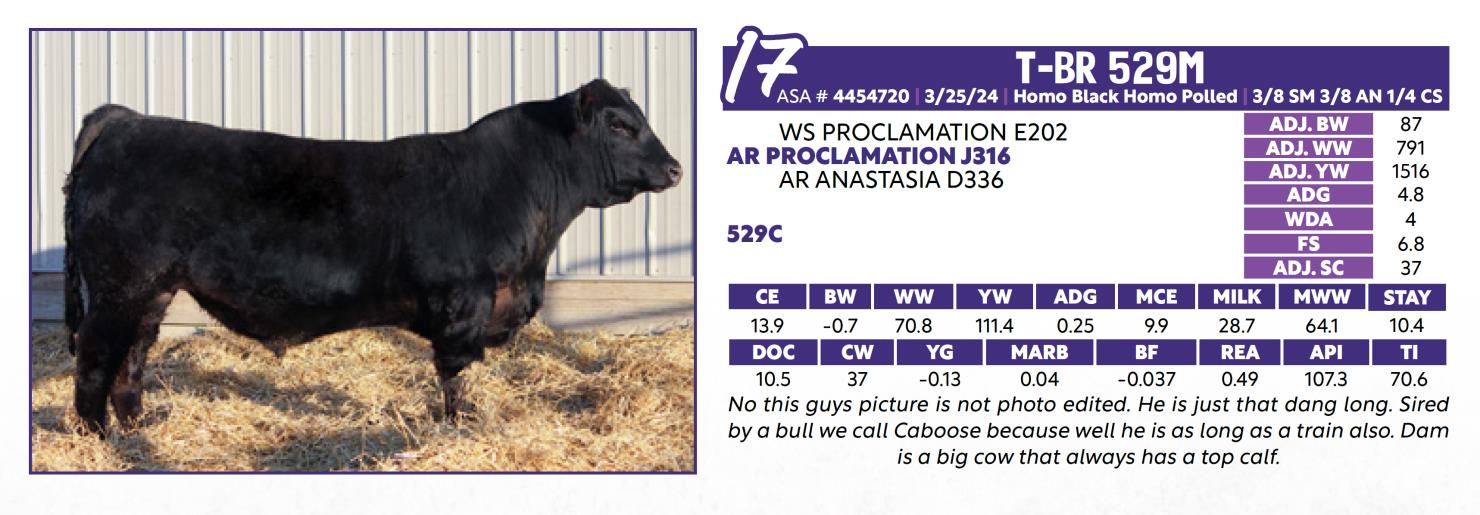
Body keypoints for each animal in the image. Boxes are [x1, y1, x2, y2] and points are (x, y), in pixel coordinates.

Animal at [61, 78, 682, 436]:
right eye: (620, 124)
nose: (675, 168)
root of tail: (125, 119)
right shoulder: (464, 304)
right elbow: (457, 375)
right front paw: (461, 428)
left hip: (153, 289)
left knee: (133, 356)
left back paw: (139, 428)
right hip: (119, 285)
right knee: (95, 357)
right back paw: (99, 438)